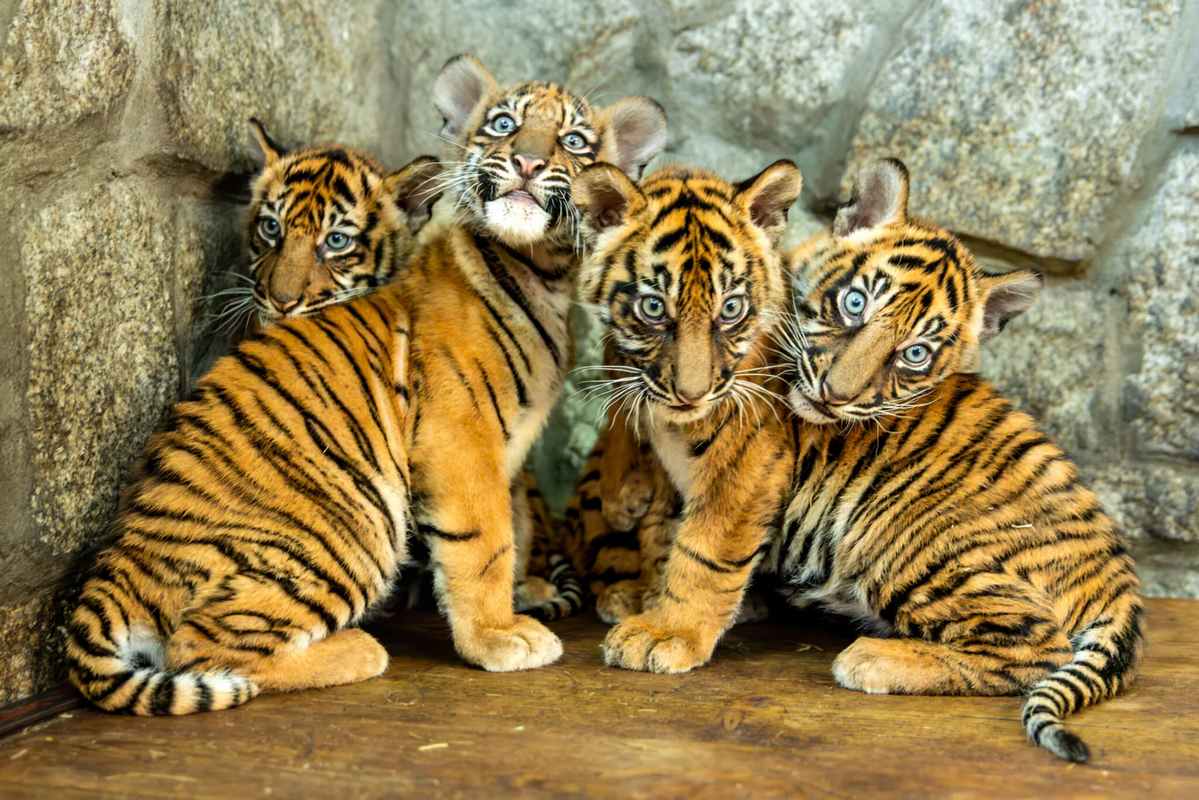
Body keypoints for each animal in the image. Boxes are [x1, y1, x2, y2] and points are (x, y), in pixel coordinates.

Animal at [386, 54, 666, 668]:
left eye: (574, 140)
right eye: (502, 124)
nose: (529, 161)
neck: (543, 274)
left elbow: (511, 523)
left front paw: (516, 599)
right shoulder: (459, 434)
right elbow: (484, 536)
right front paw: (497, 635)